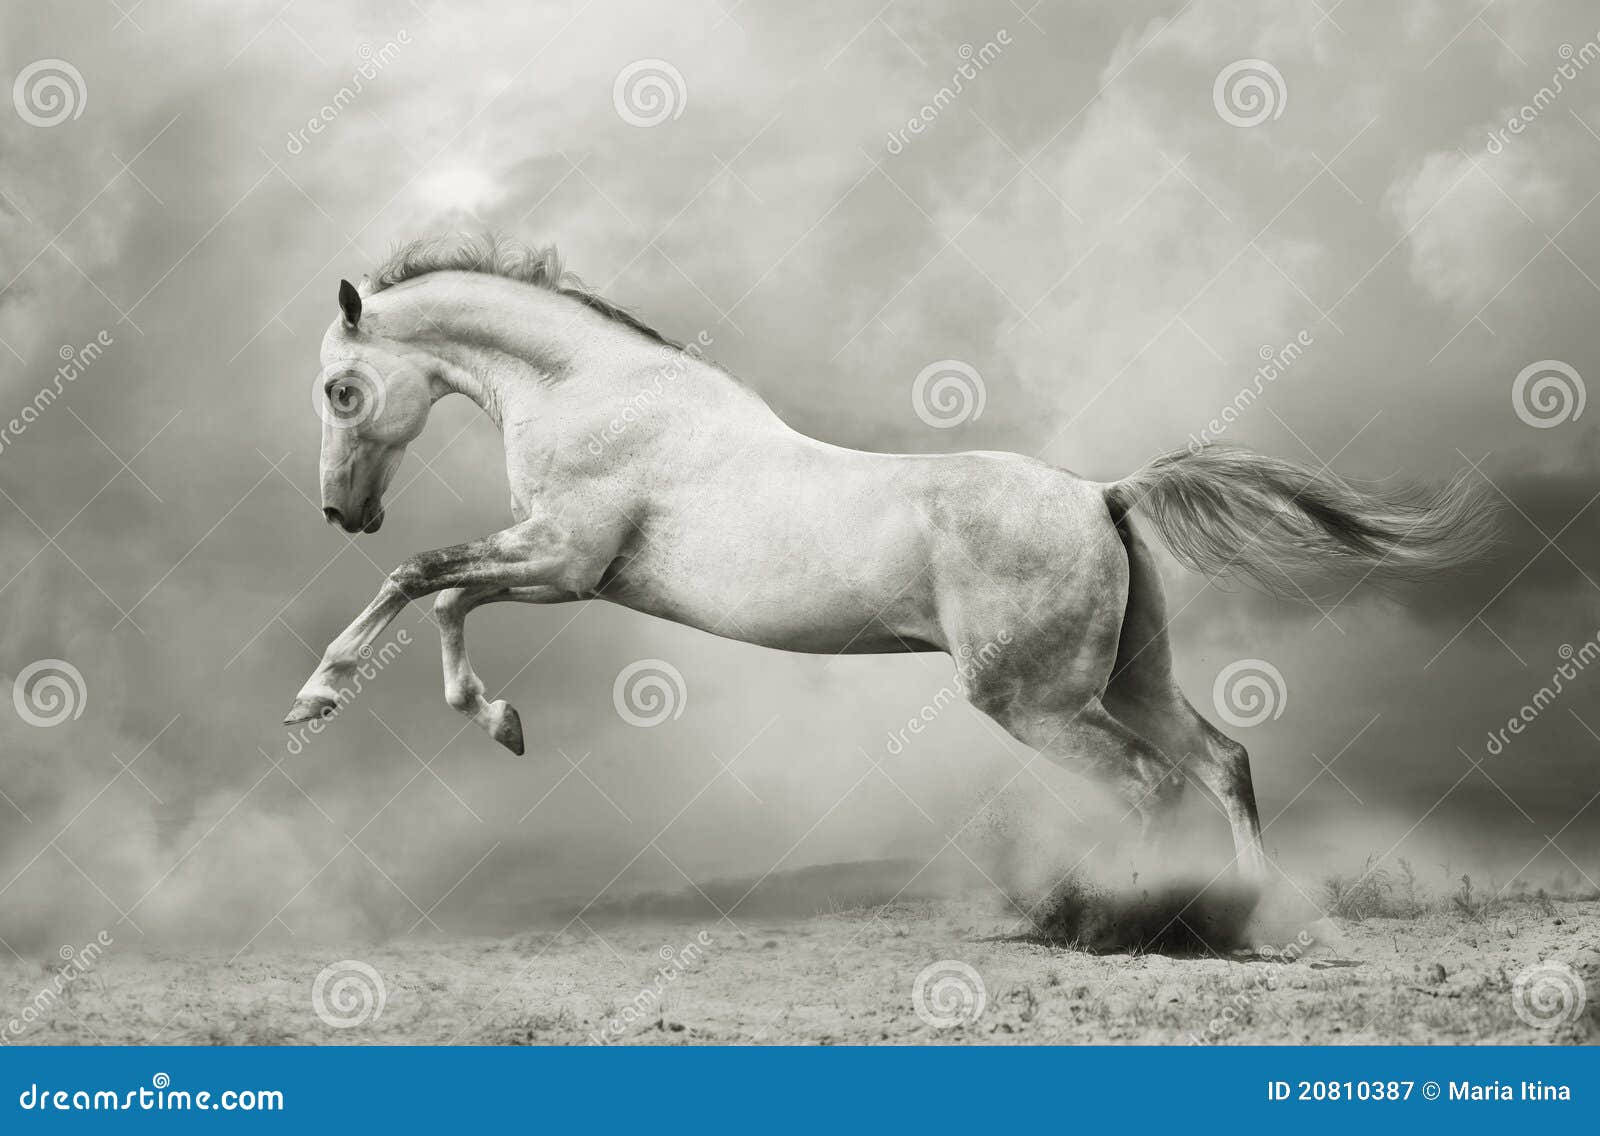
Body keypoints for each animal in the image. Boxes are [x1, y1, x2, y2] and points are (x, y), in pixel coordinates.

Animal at [282, 236, 1496, 882]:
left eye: (341, 389)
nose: (341, 511)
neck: (596, 391)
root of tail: (1099, 495)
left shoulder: (565, 562)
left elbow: (421, 580)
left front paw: (316, 697)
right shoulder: (551, 565)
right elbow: (444, 600)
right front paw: (501, 721)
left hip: (1035, 701)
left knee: (1151, 784)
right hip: (1128, 678)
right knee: (1221, 761)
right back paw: (1251, 907)